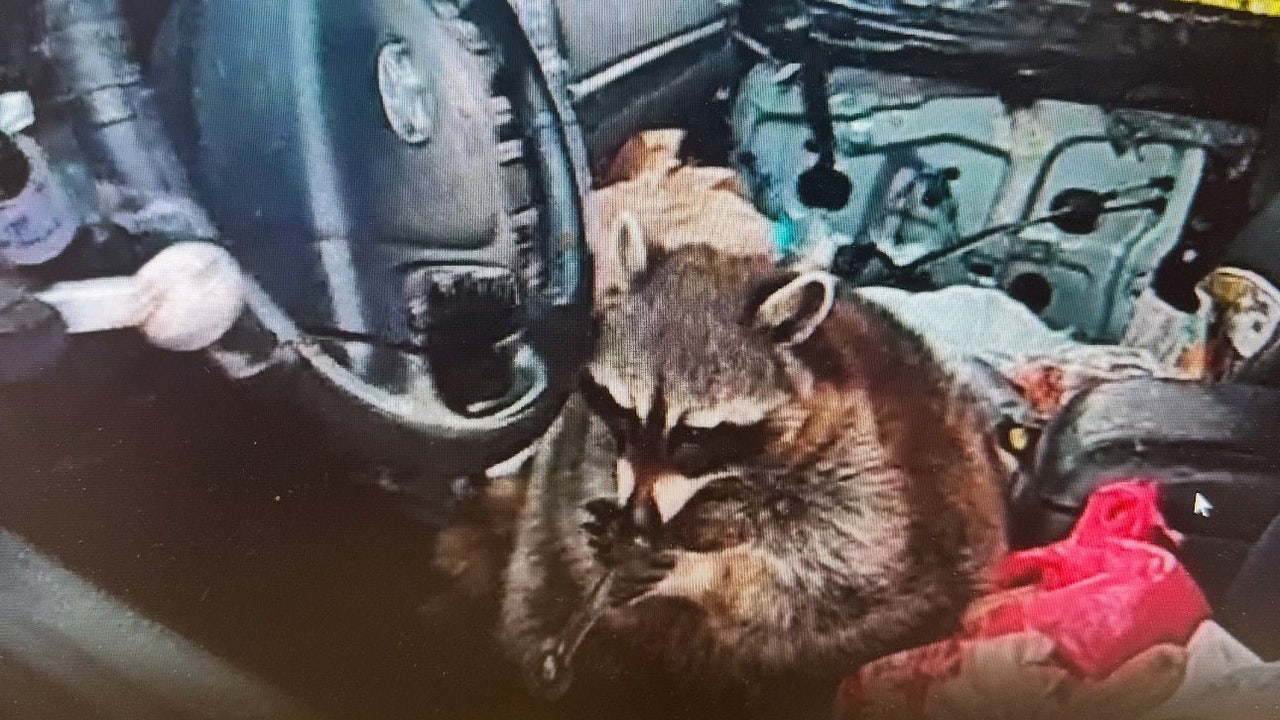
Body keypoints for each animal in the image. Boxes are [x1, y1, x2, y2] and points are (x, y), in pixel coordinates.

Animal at [498, 218, 1009, 718]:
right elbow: (584, 483)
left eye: (694, 435)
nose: (639, 521)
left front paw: (700, 561)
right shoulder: (589, 440)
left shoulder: (866, 466)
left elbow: (823, 569)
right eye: (625, 411)